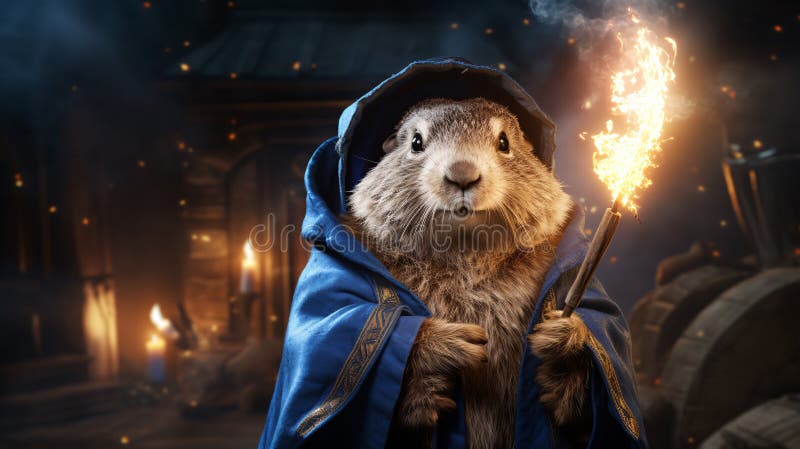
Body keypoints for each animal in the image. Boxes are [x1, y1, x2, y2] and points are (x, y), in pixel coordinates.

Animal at [342, 98, 593, 449]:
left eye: (504, 142)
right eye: (416, 142)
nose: (463, 174)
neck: (465, 250)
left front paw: (562, 347)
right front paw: (456, 345)